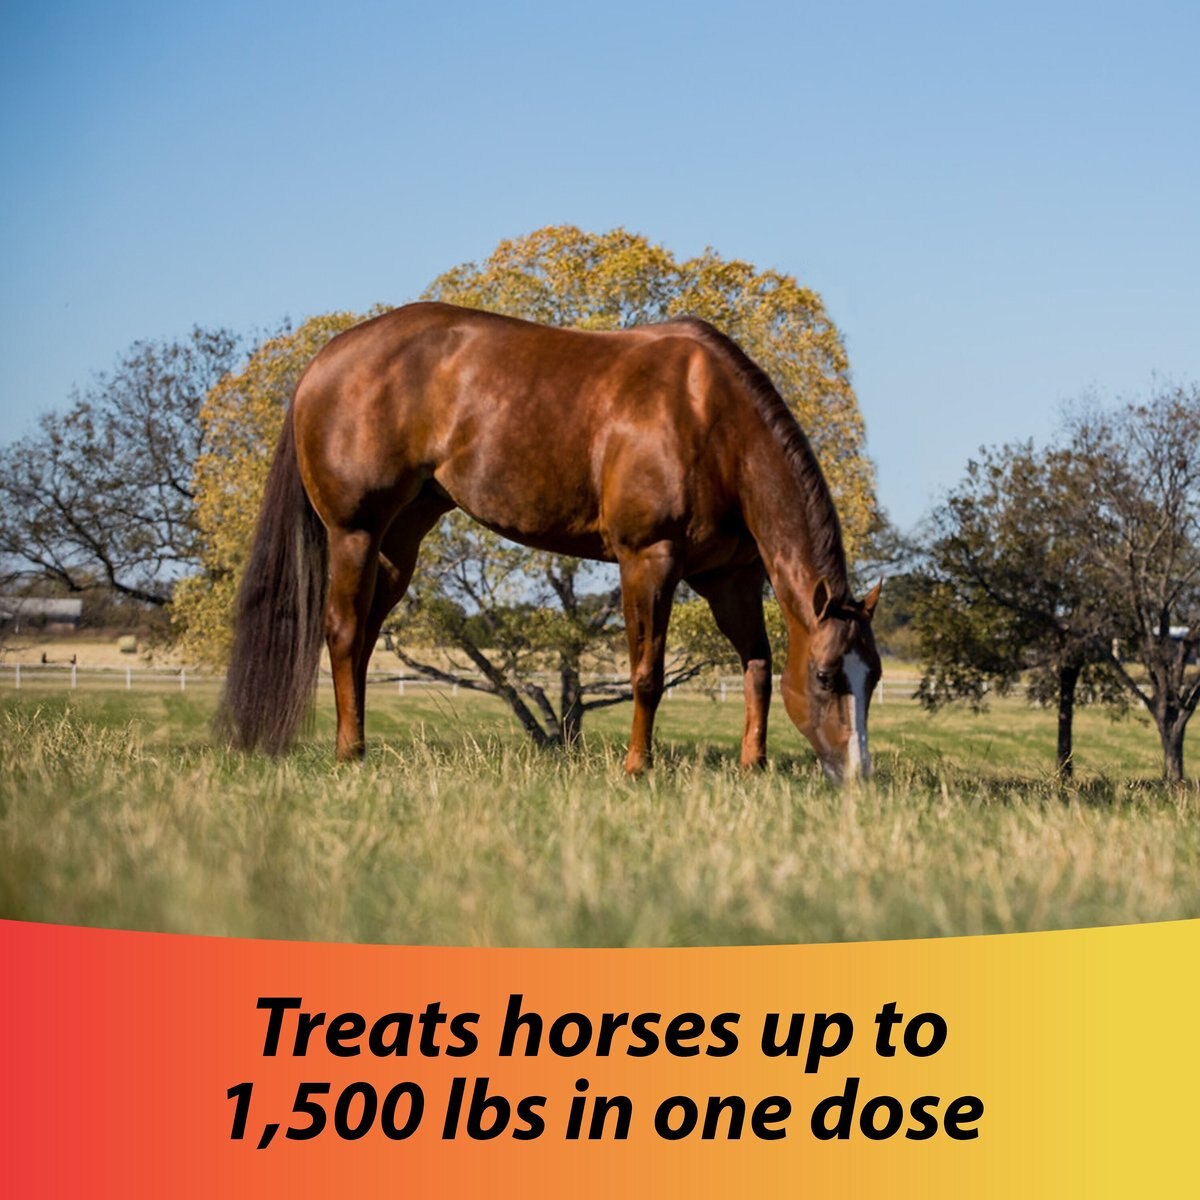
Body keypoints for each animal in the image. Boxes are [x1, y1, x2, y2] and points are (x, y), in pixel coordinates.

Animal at [220, 302, 882, 780]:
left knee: (361, 638)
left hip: (399, 540)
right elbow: (648, 670)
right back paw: (349, 753)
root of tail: (323, 361)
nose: (857, 775)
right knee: (342, 631)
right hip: (353, 532)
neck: (710, 419)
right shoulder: (648, 559)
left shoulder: (730, 578)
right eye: (827, 676)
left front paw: (754, 768)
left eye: (871, 675)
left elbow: (758, 665)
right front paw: (637, 769)